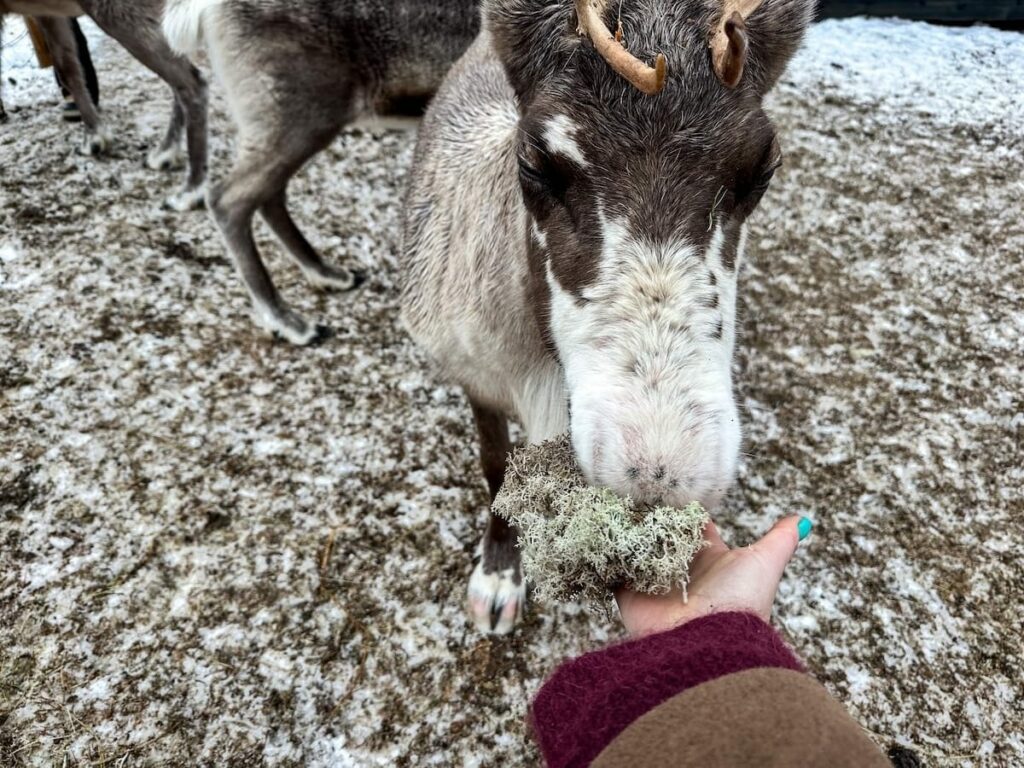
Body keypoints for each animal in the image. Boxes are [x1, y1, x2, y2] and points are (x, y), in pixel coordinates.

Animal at [0, 0, 209, 210]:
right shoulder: (50, 13)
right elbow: (68, 69)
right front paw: (95, 137)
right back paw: (165, 153)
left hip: (117, 14)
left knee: (191, 82)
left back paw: (191, 191)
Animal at [160, 0, 480, 345]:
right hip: (300, 117)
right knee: (228, 199)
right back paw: (288, 322)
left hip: (277, 121)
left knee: (267, 195)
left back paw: (326, 273)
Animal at [401, 0, 816, 634]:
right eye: (535, 162)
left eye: (763, 169)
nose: (657, 477)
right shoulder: (474, 374)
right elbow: (496, 467)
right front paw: (497, 577)